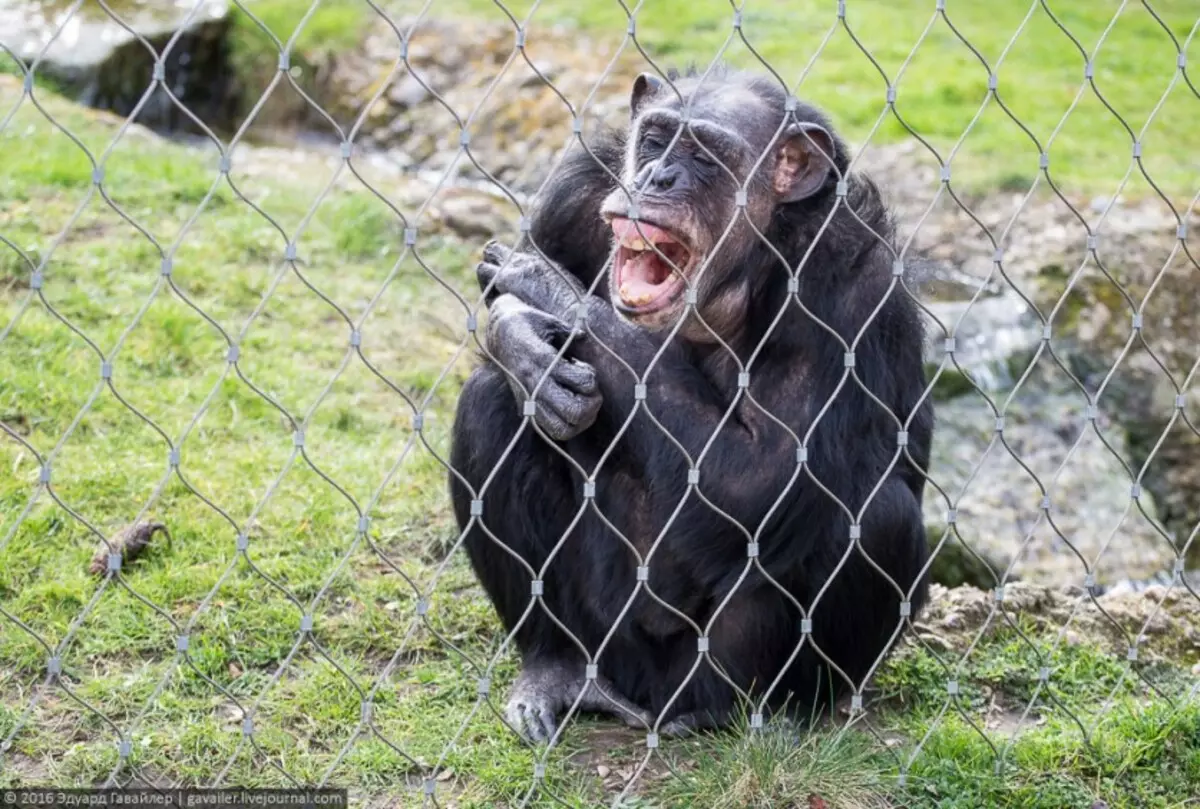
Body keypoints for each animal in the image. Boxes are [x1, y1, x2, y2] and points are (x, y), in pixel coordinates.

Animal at [446, 66, 931, 739]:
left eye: (704, 156)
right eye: (655, 140)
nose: (658, 177)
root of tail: (648, 695)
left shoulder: (850, 288)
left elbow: (764, 474)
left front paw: (548, 289)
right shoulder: (574, 191)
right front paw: (519, 342)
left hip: (708, 669)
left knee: (877, 516)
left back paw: (758, 713)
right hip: (609, 640)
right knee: (490, 403)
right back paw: (556, 667)